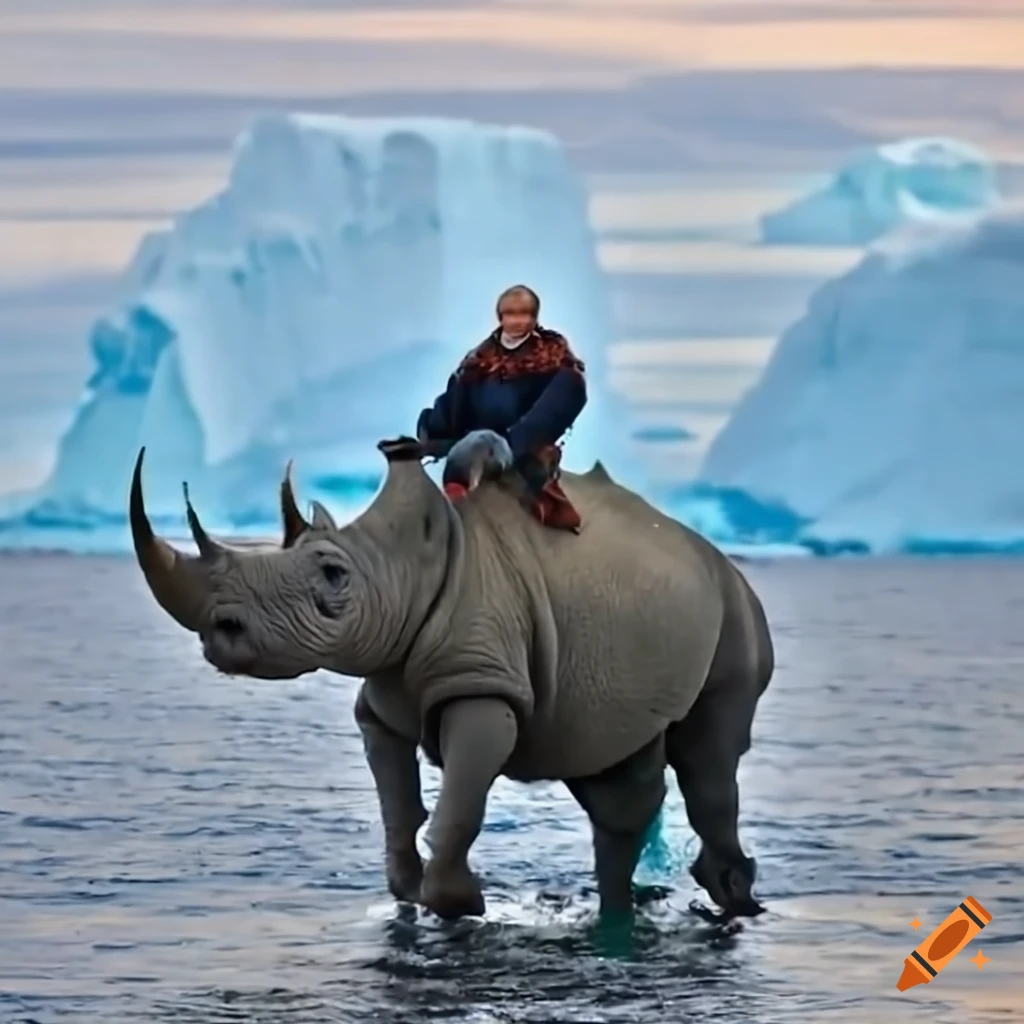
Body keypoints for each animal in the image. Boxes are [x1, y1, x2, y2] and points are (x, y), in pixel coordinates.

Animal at [128, 431, 774, 923]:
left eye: (335, 576)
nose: (221, 630)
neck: (402, 563)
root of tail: (708, 550)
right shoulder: (382, 694)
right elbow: (398, 805)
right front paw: (411, 892)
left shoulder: (482, 685)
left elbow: (458, 807)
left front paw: (464, 903)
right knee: (612, 768)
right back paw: (626, 908)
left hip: (735, 603)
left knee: (709, 753)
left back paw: (731, 898)